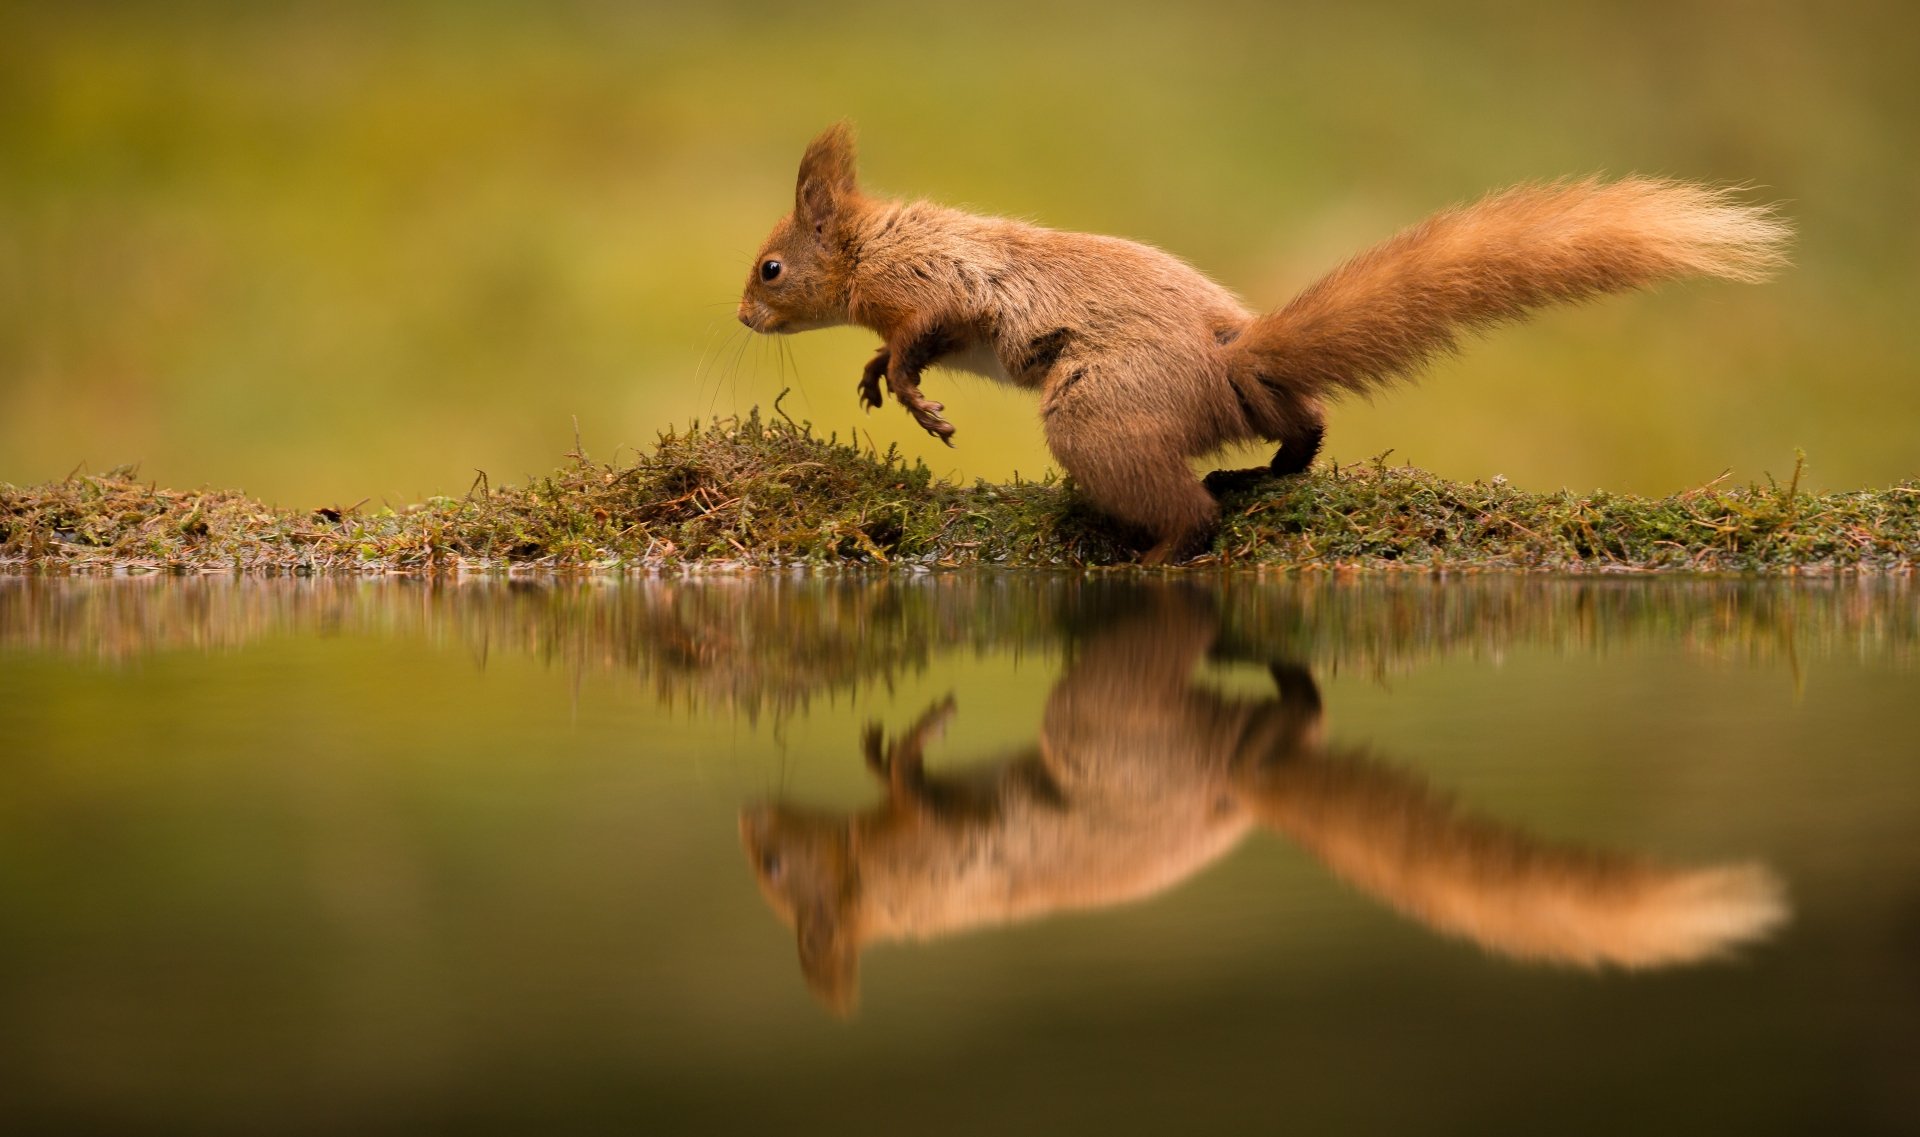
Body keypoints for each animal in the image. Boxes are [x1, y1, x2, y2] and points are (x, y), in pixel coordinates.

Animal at [737, 123, 1790, 564]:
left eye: (771, 269)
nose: (743, 318)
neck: (877, 243)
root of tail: (1226, 362)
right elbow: (892, 349)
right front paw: (874, 375)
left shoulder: (934, 286)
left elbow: (923, 339)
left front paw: (914, 395)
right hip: (1248, 406)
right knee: (1301, 424)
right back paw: (1267, 469)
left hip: (1096, 410)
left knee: (1191, 514)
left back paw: (1161, 551)